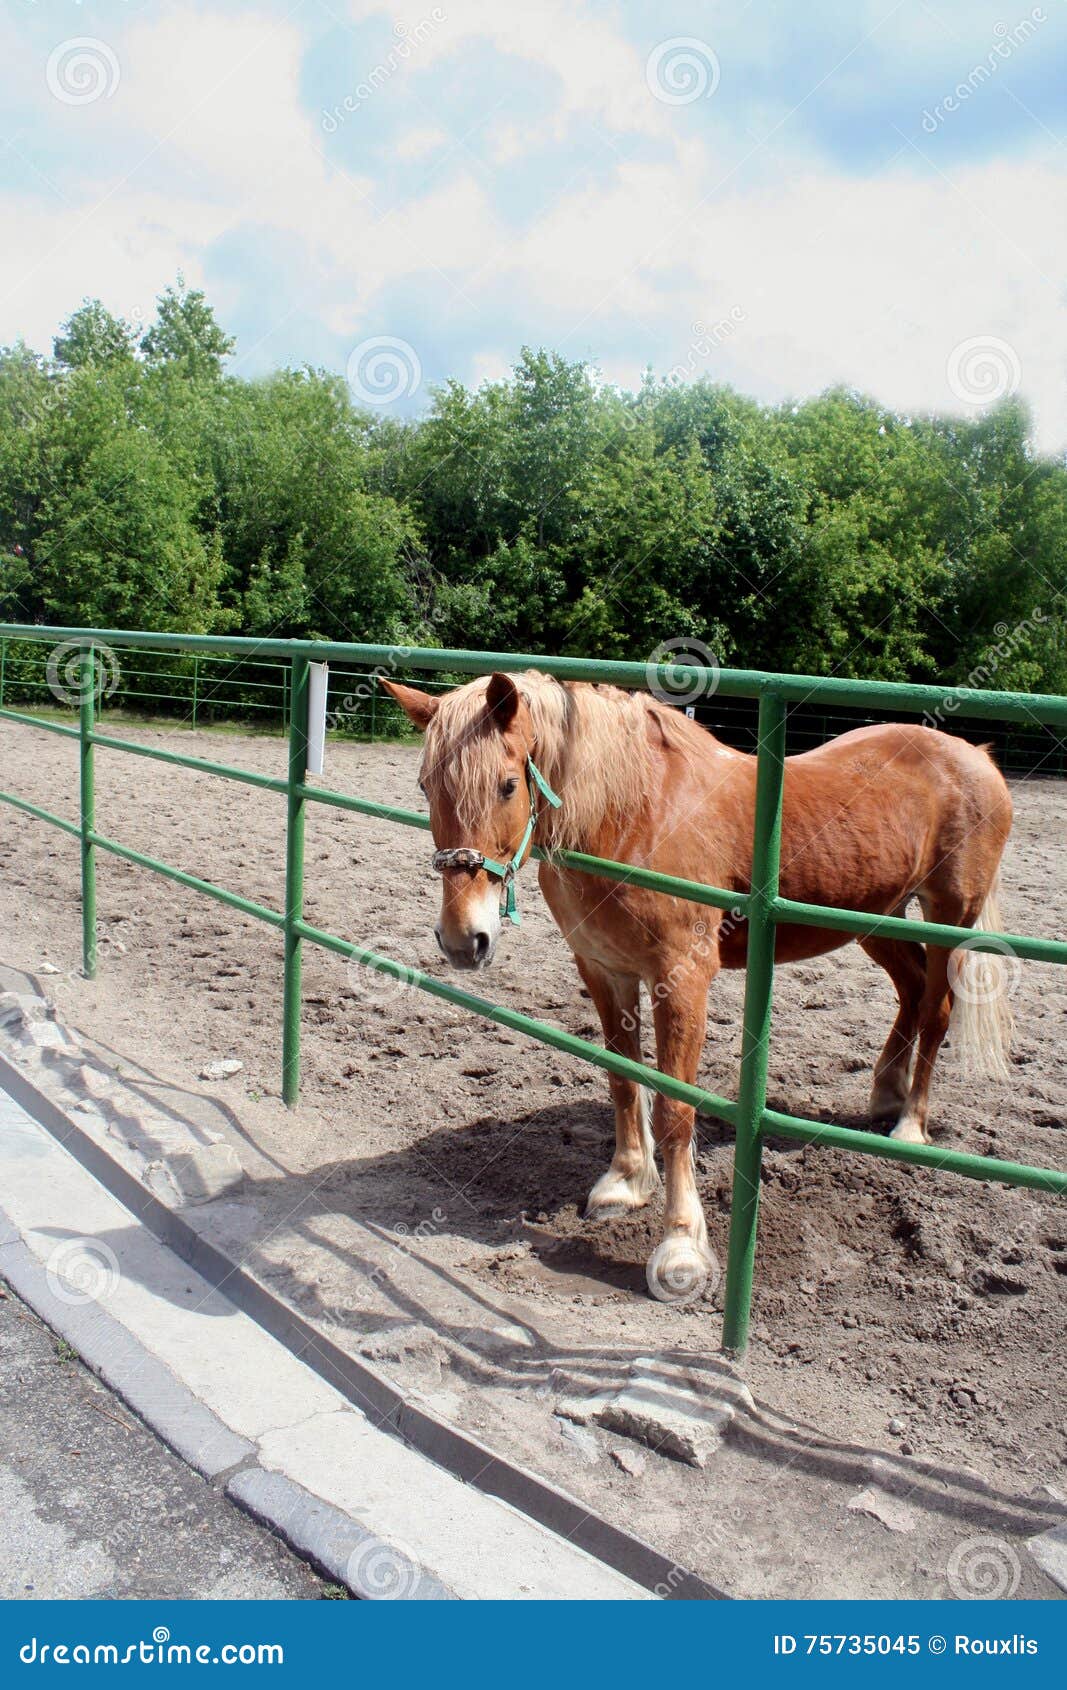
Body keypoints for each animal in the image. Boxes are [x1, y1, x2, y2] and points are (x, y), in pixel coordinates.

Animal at [381, 670, 1013, 1303]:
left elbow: (674, 1110)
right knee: (911, 991)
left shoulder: (680, 981)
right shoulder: (605, 970)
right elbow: (623, 1080)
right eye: (424, 785)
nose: (463, 940)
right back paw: (886, 1095)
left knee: (937, 1009)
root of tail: (977, 757)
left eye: (508, 785)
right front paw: (626, 1182)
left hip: (947, 920)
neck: (633, 813)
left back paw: (911, 1127)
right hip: (874, 919)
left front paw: (680, 1246)